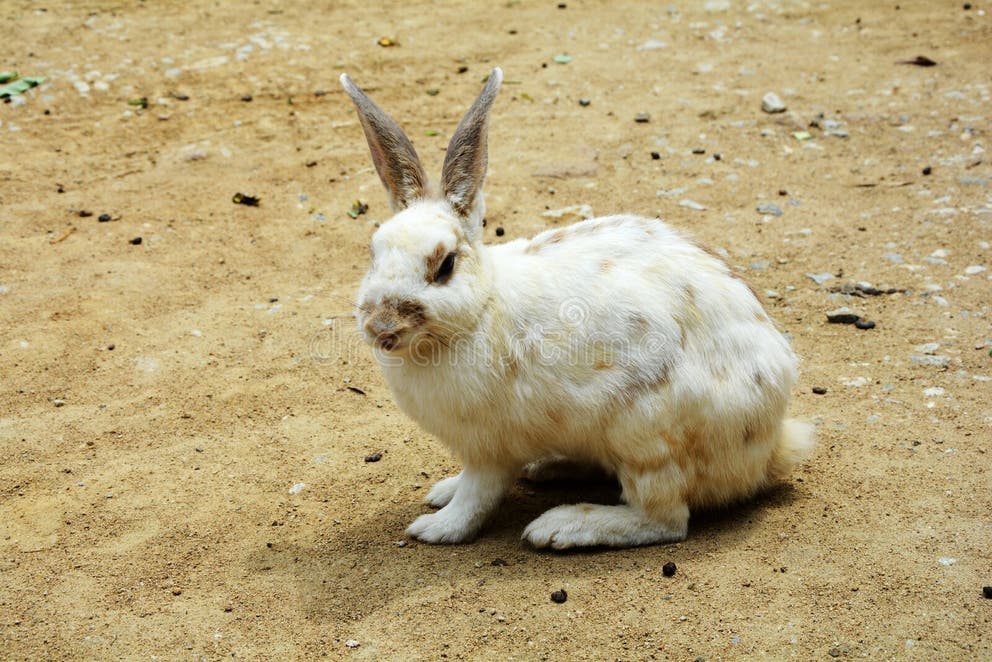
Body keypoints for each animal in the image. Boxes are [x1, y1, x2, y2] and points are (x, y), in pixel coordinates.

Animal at [339, 67, 815, 549]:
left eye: (445, 266)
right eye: (373, 253)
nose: (382, 327)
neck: (481, 309)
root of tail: (770, 442)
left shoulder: (489, 450)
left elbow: (476, 496)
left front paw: (437, 527)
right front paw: (443, 490)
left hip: (645, 437)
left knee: (665, 519)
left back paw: (561, 526)